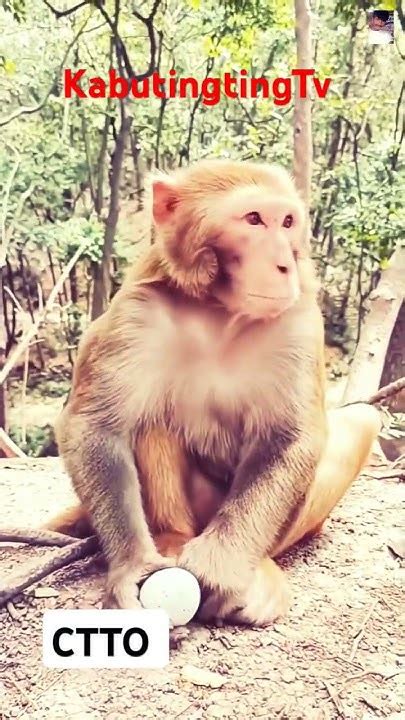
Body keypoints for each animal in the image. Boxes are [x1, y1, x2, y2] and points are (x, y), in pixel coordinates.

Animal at [47, 159, 382, 625]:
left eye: (288, 222)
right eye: (254, 219)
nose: (284, 265)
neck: (221, 311)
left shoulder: (299, 318)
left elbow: (291, 437)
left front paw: (222, 566)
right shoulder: (136, 311)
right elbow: (94, 425)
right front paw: (133, 565)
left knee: (363, 421)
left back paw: (258, 568)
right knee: (151, 418)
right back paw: (169, 537)